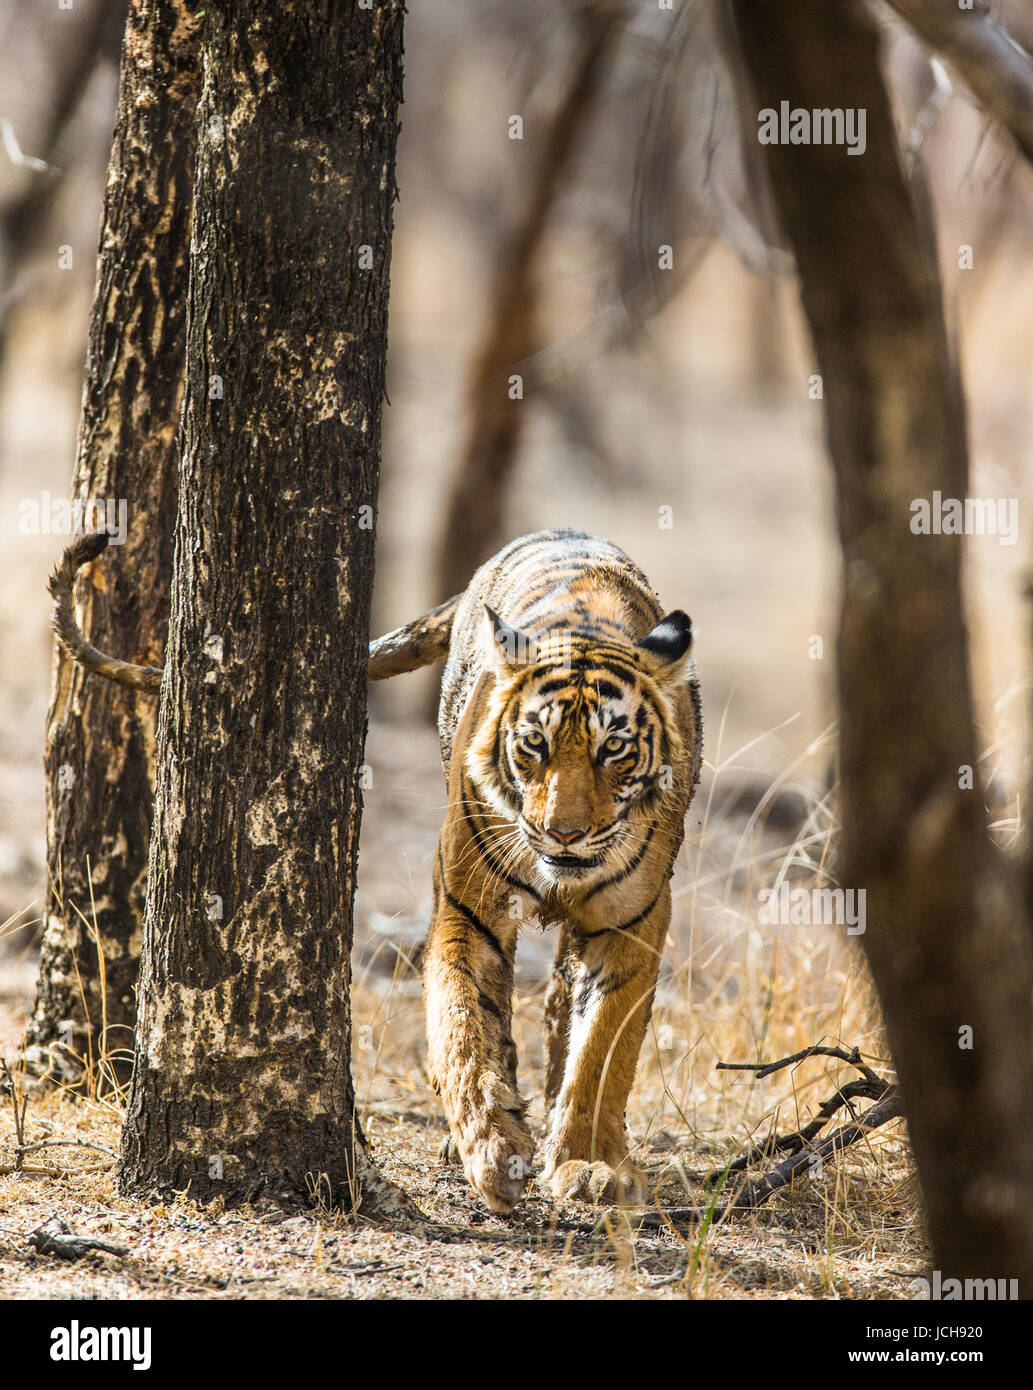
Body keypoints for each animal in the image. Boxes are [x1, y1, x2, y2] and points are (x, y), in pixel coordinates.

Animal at [51, 526, 702, 1214]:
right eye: (535, 745)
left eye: (614, 749)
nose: (564, 833)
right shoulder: (469, 907)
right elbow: (461, 1023)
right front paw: (492, 1148)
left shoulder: (633, 920)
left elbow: (602, 1049)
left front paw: (588, 1163)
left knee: (559, 1011)